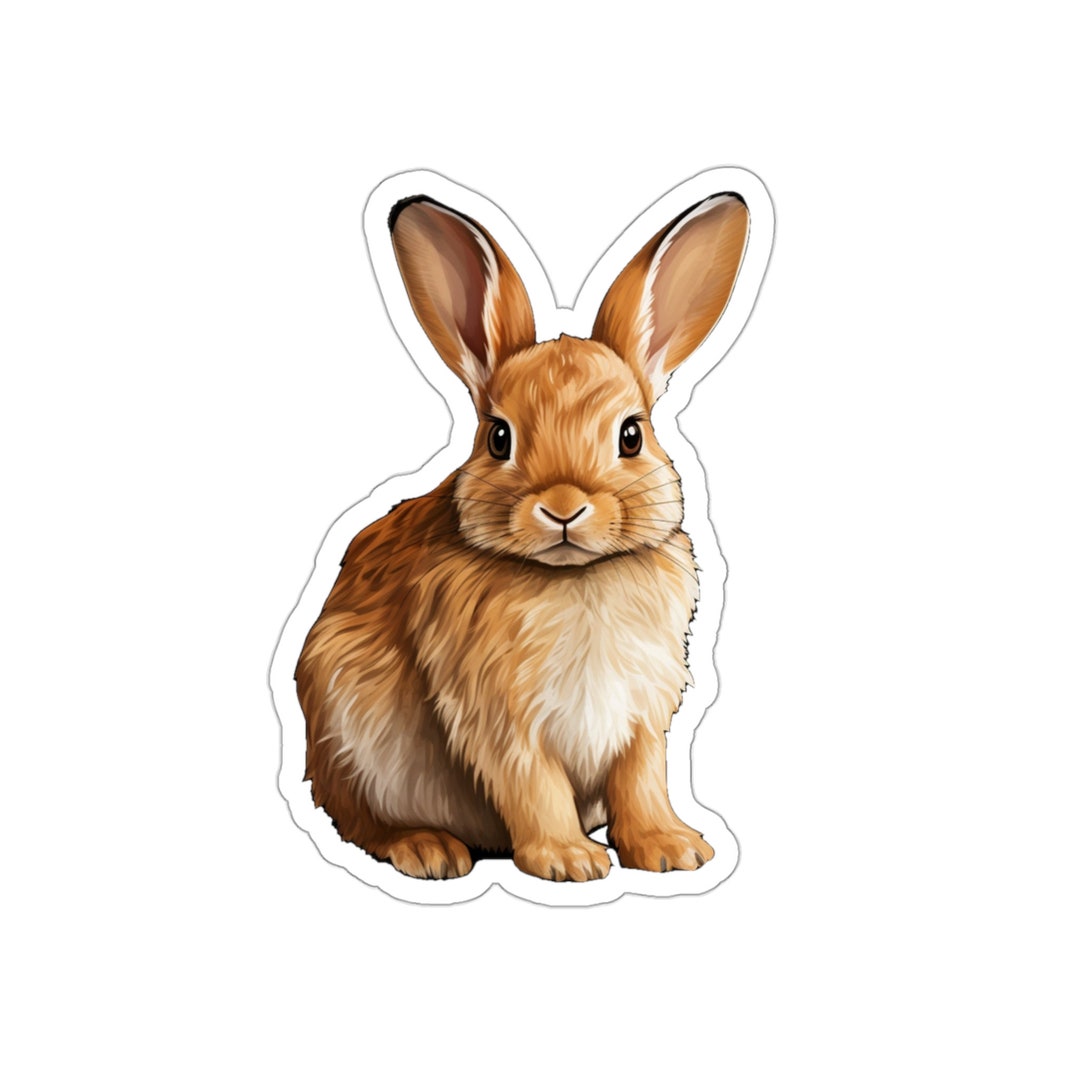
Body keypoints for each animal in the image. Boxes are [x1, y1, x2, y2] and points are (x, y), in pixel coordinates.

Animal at [296, 188, 750, 882]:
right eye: (498, 437)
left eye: (631, 435)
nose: (563, 507)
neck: (574, 577)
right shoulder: (500, 718)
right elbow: (532, 785)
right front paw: (570, 861)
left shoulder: (642, 718)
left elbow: (643, 781)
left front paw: (672, 850)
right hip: (347, 727)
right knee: (357, 818)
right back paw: (427, 850)